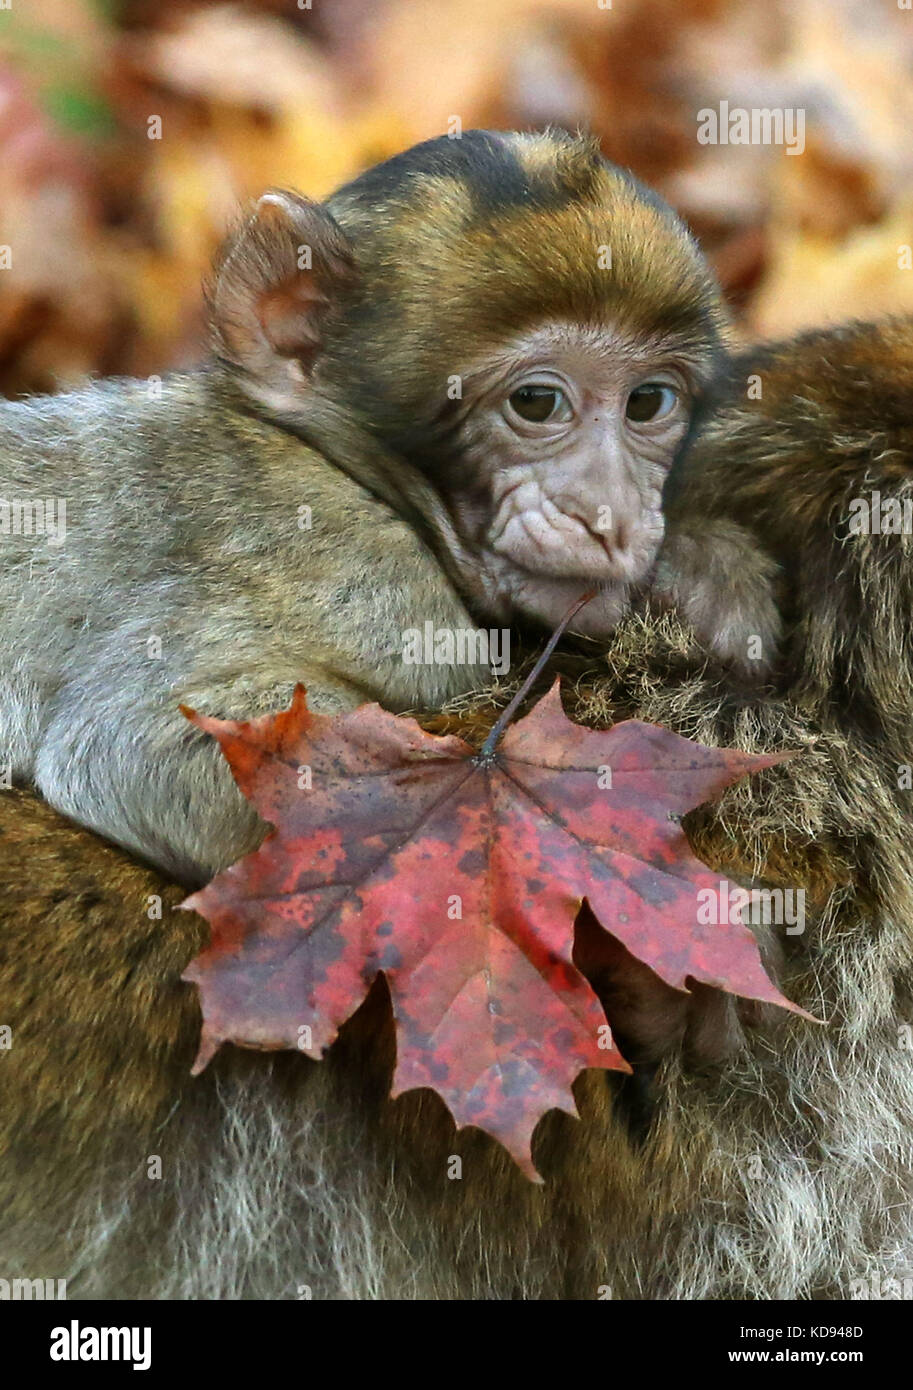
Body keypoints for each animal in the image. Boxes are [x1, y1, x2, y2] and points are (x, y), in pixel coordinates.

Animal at [0, 129, 728, 886]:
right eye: (536, 402)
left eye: (648, 402)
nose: (611, 514)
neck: (355, 473)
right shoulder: (364, 582)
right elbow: (131, 752)